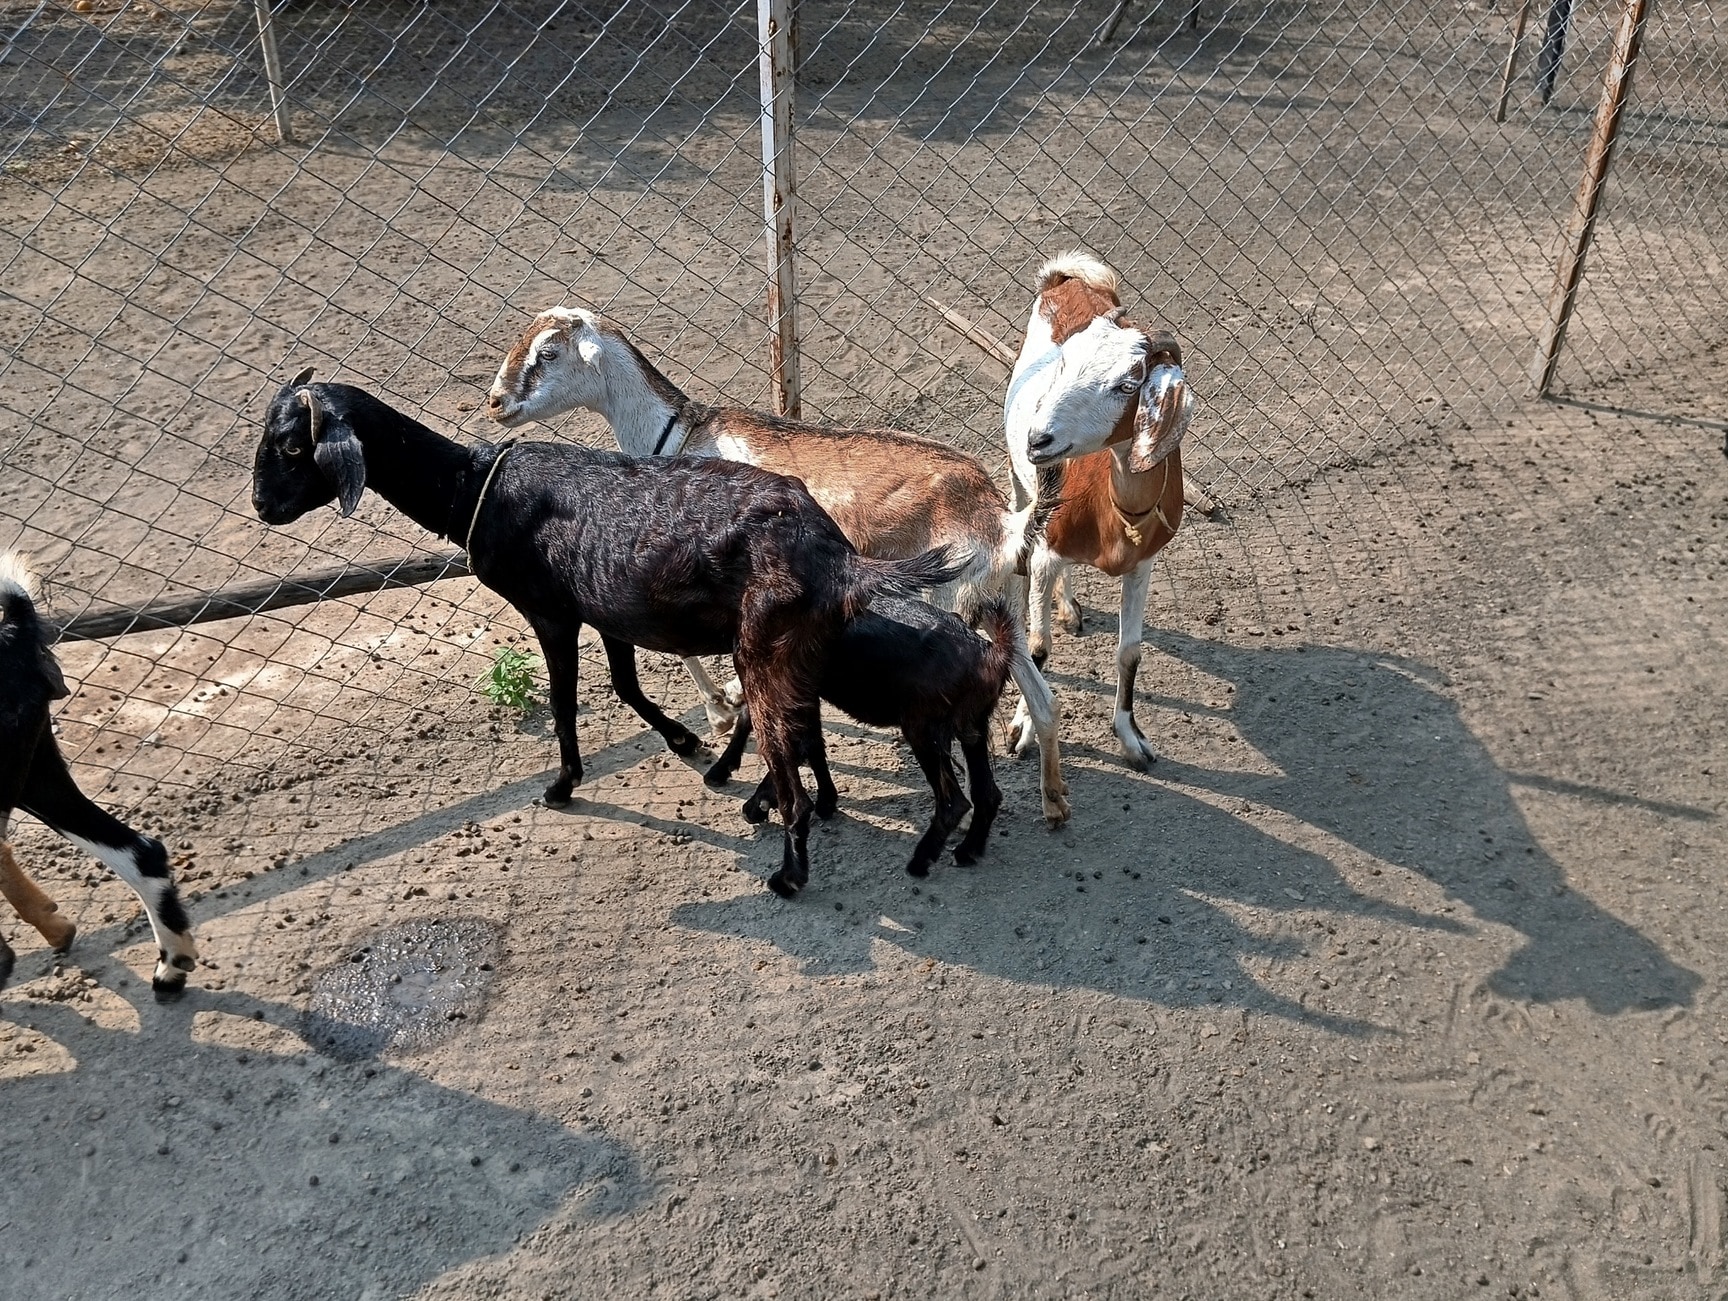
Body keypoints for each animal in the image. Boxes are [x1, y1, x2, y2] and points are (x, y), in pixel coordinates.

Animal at [251, 372, 961, 897]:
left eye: (291, 445)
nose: (262, 505)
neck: (473, 488)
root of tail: (832, 550)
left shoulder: (551, 613)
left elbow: (565, 703)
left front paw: (562, 785)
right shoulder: (605, 608)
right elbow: (623, 683)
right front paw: (681, 739)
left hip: (764, 646)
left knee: (787, 756)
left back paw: (787, 868)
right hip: (794, 648)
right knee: (797, 730)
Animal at [485, 306, 1071, 828]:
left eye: (548, 352)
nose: (496, 403)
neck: (682, 435)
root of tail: (1001, 518)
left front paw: (719, 718)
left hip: (952, 606)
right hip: (998, 606)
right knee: (1045, 702)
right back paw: (1053, 804)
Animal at [703, 595, 1017, 877]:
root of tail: (990, 654)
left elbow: (769, 732)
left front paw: (736, 785)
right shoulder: (802, 693)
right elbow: (810, 742)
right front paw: (824, 801)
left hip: (924, 731)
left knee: (954, 803)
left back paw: (920, 861)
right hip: (973, 728)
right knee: (987, 794)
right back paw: (967, 851)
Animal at [1003, 252, 1196, 771]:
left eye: (1128, 384)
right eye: (1064, 362)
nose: (1039, 439)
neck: (1116, 512)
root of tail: (1064, 278)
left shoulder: (1143, 564)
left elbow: (1130, 653)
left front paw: (1132, 739)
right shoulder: (1048, 551)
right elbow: (1037, 648)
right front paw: (1024, 730)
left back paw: (1070, 608)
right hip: (1018, 482)